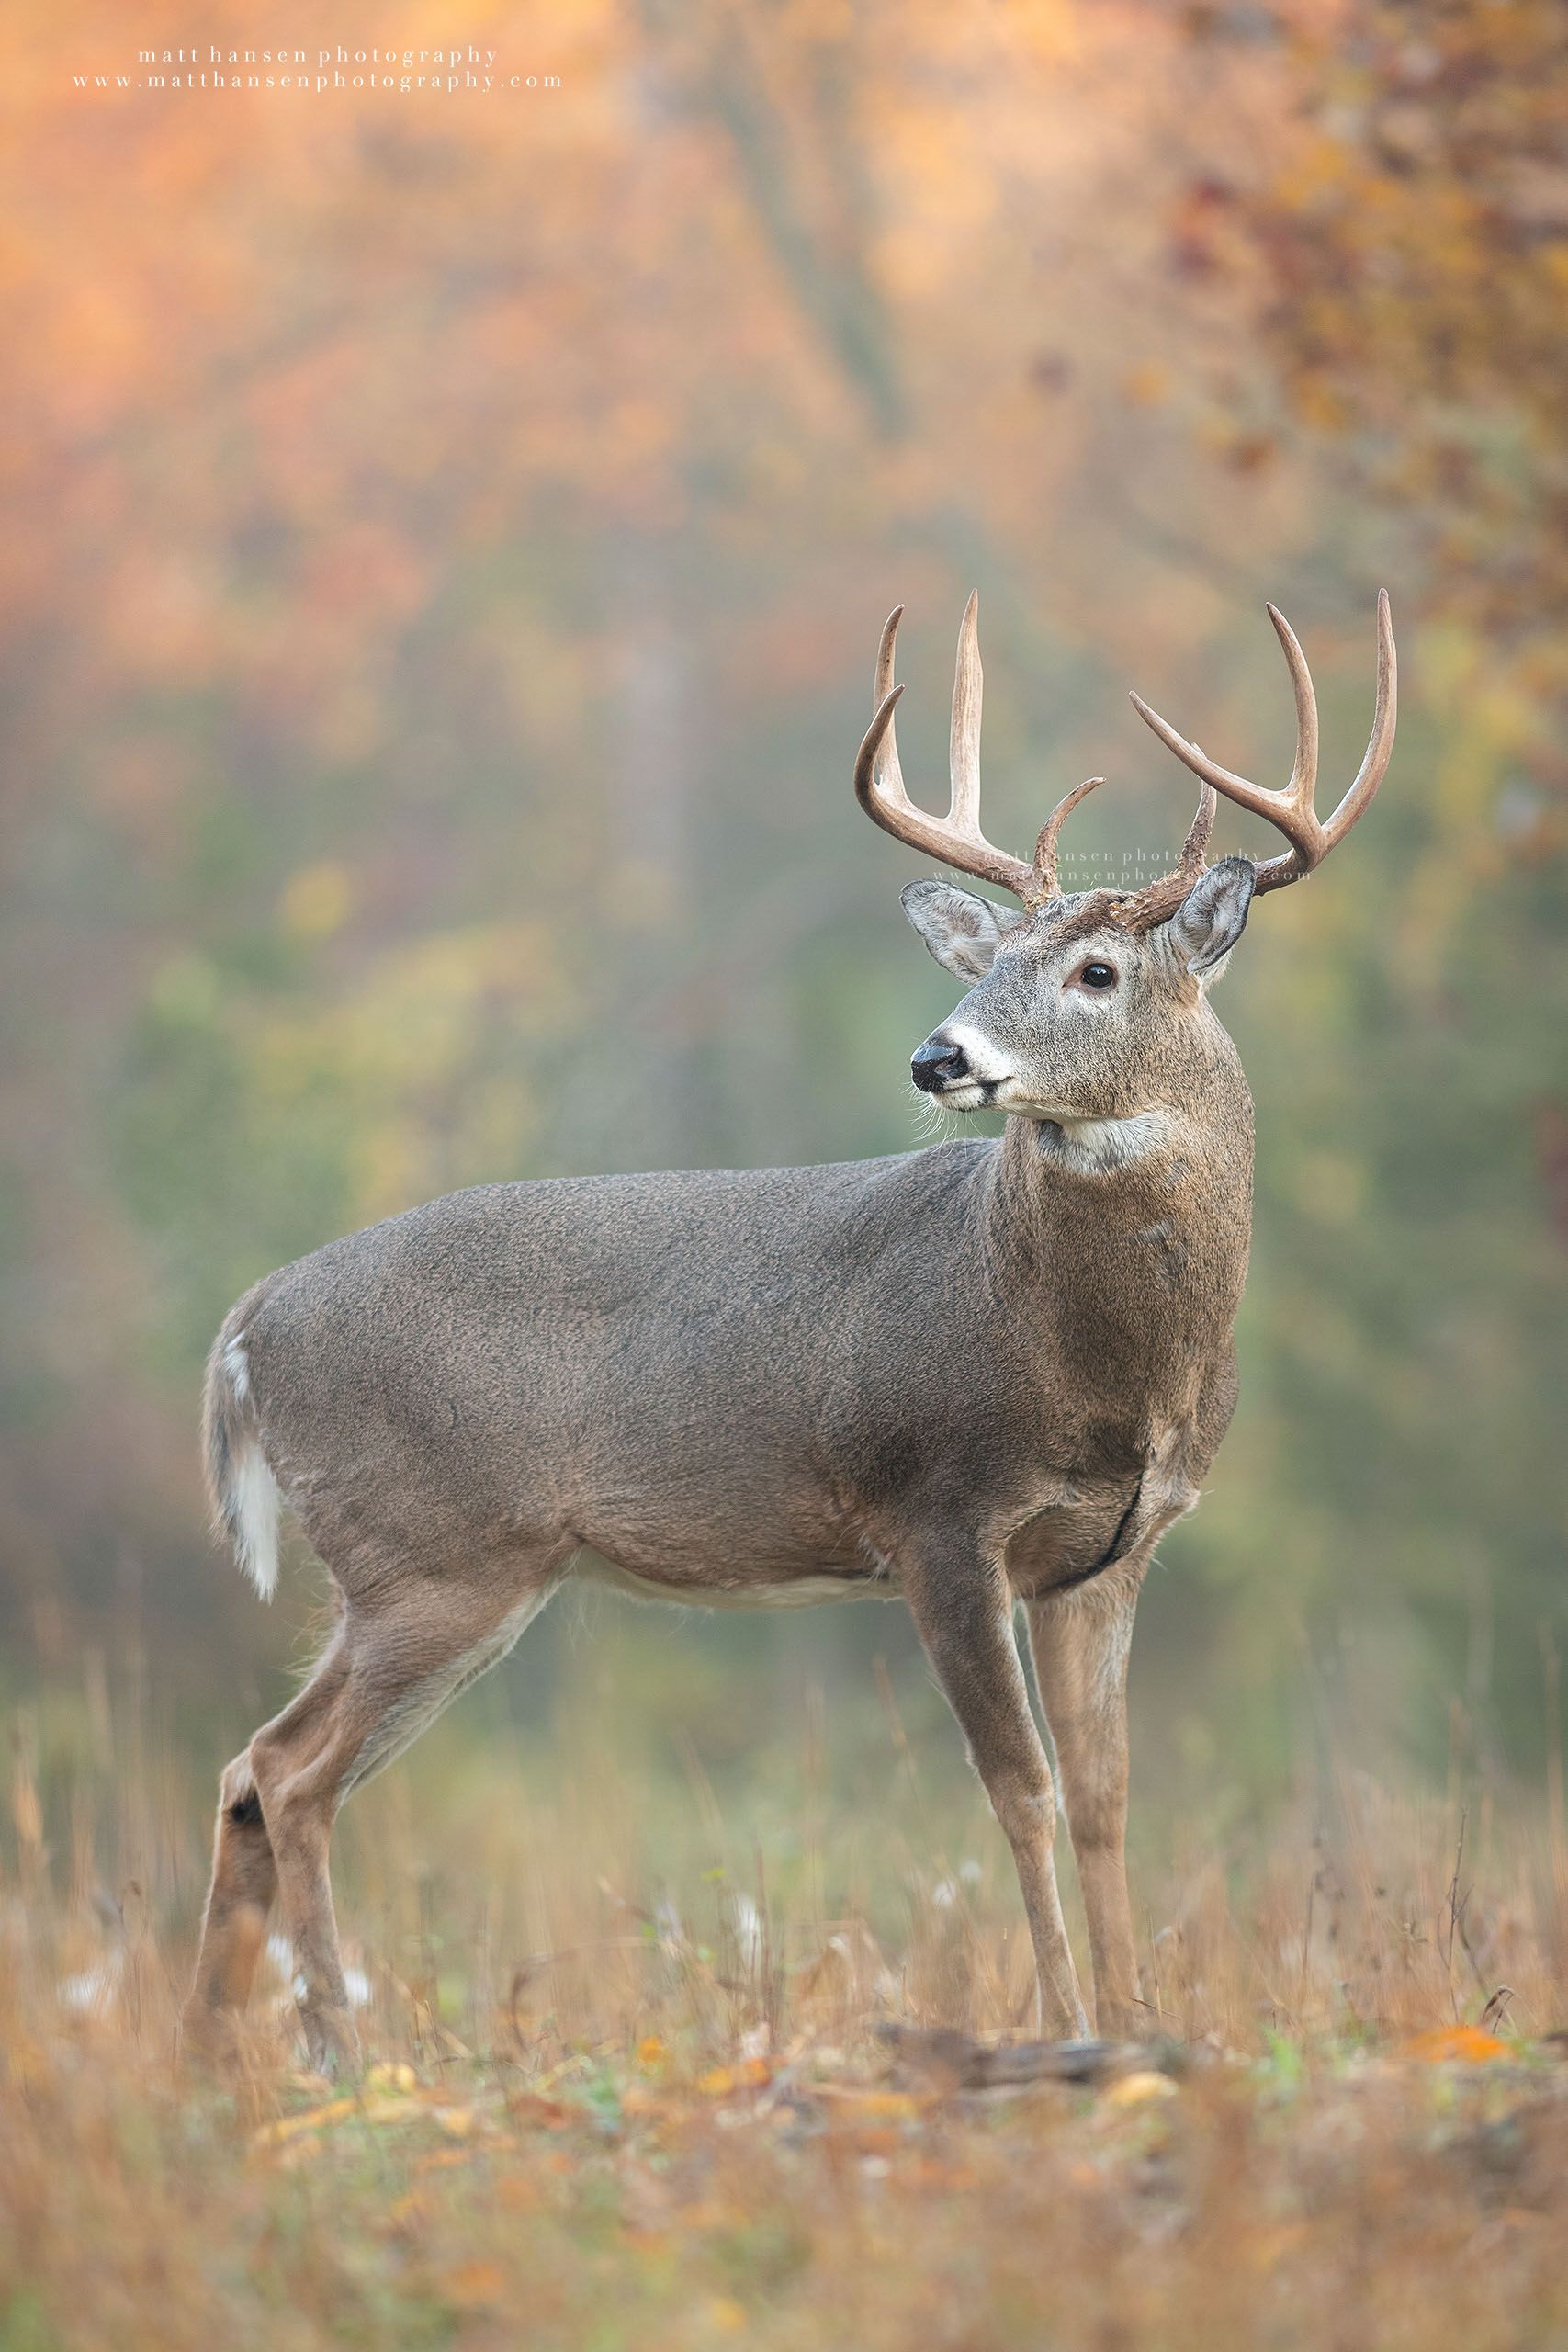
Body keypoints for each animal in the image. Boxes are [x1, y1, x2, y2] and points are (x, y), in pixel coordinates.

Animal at [184, 589, 1396, 2073]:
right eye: (989, 962)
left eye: (1098, 970)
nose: (938, 1056)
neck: (1100, 1366)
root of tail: (247, 1326)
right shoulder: (938, 1515)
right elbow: (1021, 1790)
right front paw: (1060, 2031)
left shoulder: (1111, 1550)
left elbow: (1108, 1797)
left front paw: (1136, 2030)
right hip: (433, 1550)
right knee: (288, 1774)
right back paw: (341, 2056)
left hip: (418, 1569)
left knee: (254, 1767)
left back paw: (210, 2067)